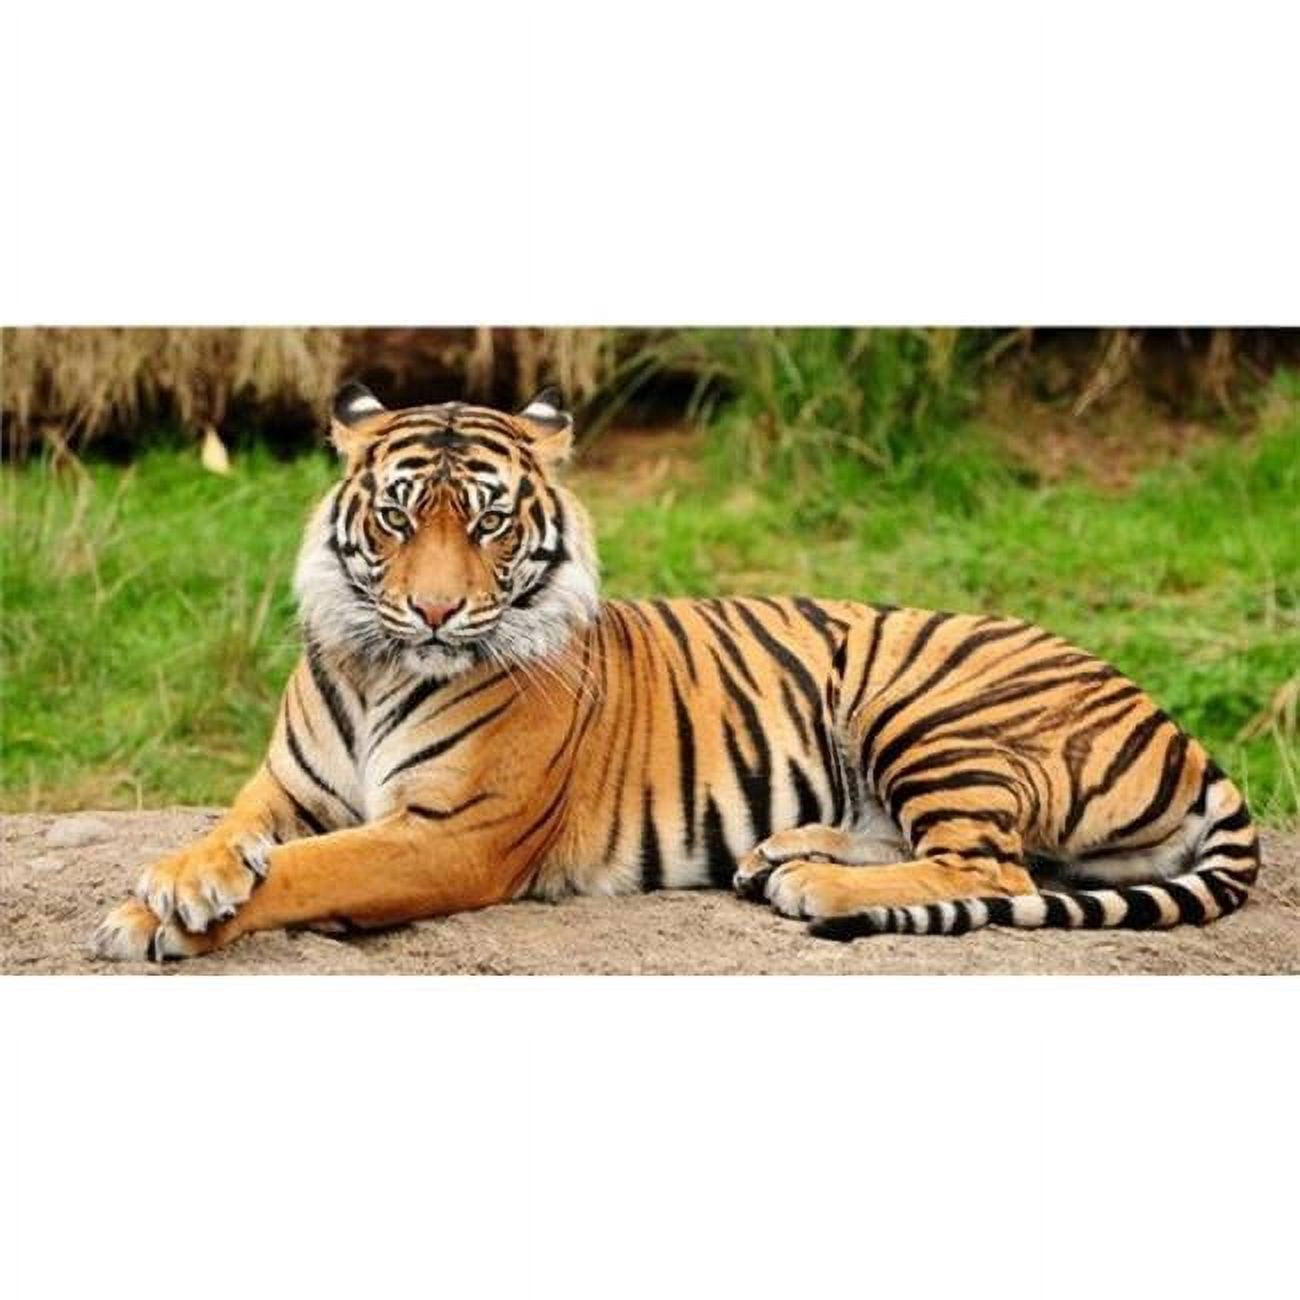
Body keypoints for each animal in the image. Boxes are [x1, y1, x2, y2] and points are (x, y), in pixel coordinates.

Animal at [93, 383, 1261, 961]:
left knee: (995, 869)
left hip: (927, 703)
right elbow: (234, 836)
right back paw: (782, 853)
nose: (432, 609)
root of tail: (1175, 723)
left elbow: (309, 871)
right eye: (396, 517)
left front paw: (160, 919)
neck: (383, 667)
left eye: (488, 522)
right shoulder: (285, 787)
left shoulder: (452, 834)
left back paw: (815, 882)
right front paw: (175, 884)